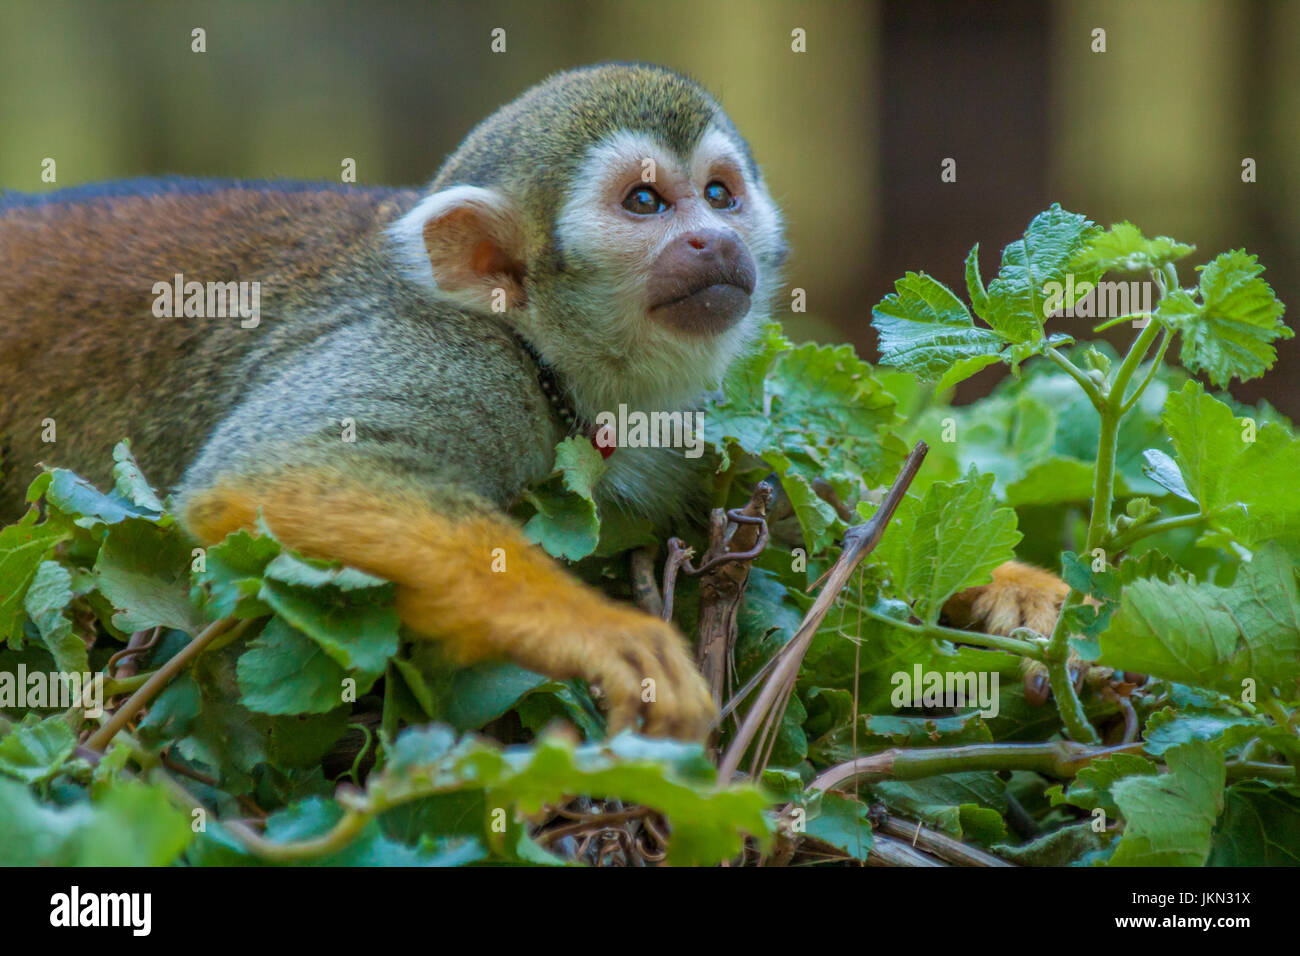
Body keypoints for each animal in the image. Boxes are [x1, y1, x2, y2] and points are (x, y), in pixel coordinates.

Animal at [0, 63, 1074, 739]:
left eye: (718, 195)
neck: (552, 357)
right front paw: (611, 640)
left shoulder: (691, 424)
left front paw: (1010, 591)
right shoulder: (456, 358)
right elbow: (283, 474)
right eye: (645, 204)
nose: (715, 241)